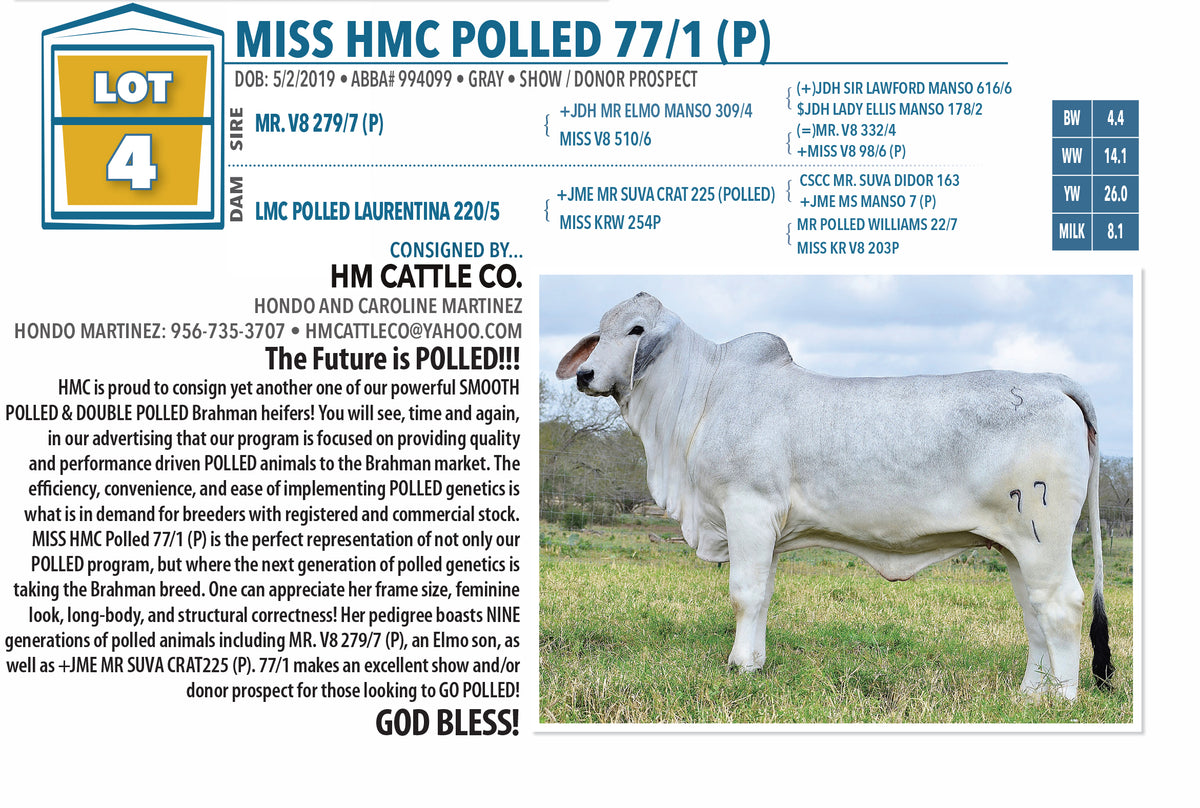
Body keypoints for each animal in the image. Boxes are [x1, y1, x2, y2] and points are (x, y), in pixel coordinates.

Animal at [555, 292, 1114, 699]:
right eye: (600, 331)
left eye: (636, 330)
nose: (584, 374)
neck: (703, 395)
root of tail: (1051, 382)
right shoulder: (768, 529)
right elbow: (764, 594)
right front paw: (756, 662)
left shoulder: (748, 508)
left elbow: (745, 593)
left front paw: (739, 666)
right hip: (1016, 546)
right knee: (1034, 613)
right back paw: (1030, 694)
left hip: (1042, 536)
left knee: (1062, 605)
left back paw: (1062, 699)